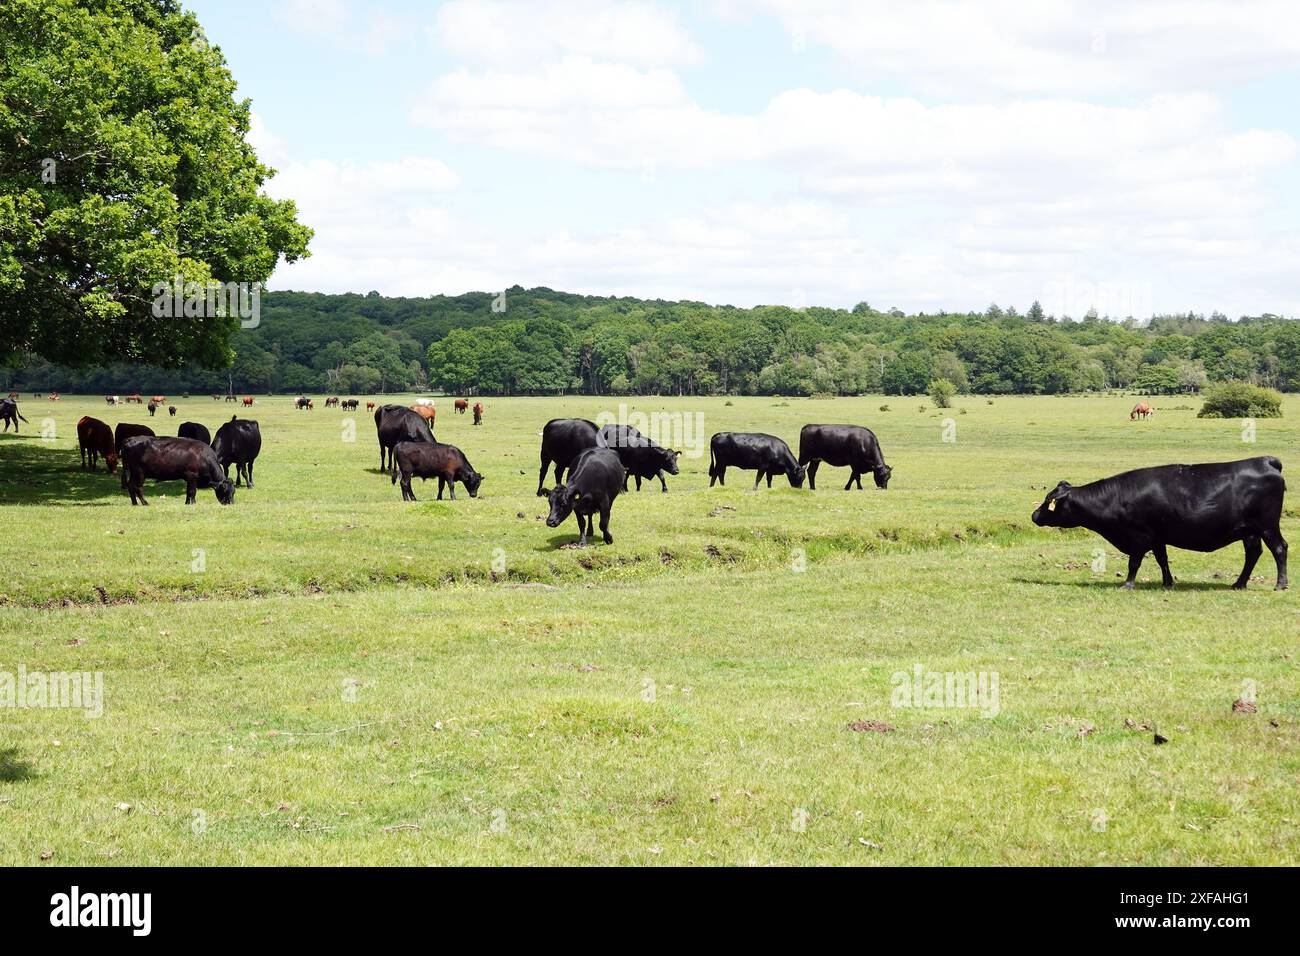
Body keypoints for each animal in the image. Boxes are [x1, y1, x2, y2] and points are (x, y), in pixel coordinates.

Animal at [1032, 457, 1288, 591]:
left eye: (1048, 501)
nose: (1034, 515)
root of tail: (1266, 461)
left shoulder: (1139, 537)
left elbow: (1134, 563)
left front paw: (1127, 585)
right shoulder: (1157, 537)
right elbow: (1162, 560)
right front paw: (1167, 583)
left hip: (1267, 526)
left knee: (1279, 549)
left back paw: (1280, 584)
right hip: (1250, 531)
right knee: (1253, 553)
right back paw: (1239, 583)